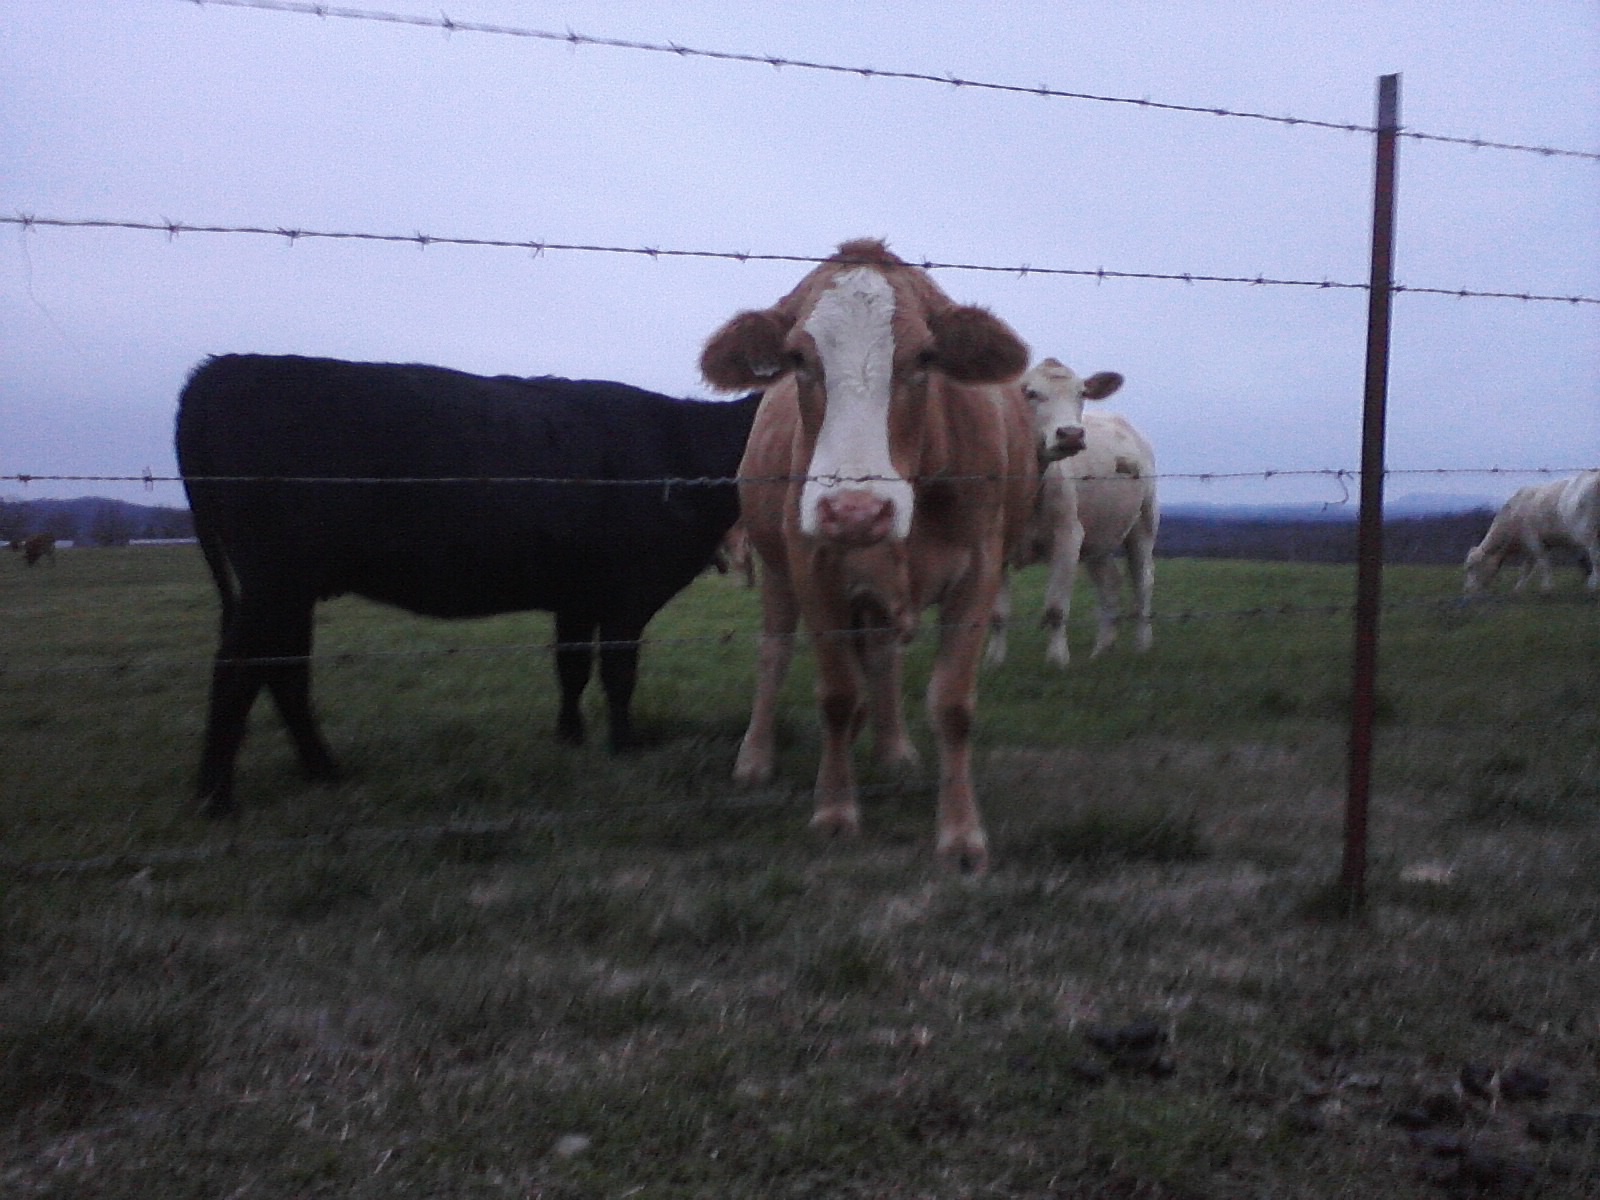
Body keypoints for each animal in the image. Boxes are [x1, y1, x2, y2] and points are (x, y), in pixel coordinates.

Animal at [176, 354, 760, 817]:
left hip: (288, 590)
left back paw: (322, 770)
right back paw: (215, 798)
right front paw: (624, 747)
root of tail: (218, 369)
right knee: (237, 671)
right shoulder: (626, 594)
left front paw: (570, 739)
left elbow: (571, 668)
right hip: (274, 583)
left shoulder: (576, 594)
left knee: (283, 671)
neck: (682, 450)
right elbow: (618, 674)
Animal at [700, 238, 1037, 875]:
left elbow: (952, 705)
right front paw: (835, 810)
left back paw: (892, 748)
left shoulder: (980, 571)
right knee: (775, 655)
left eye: (925, 356)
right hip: (775, 570)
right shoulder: (812, 565)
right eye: (798, 358)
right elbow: (836, 694)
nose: (855, 510)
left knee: (882, 657)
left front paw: (961, 833)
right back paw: (756, 758)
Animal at [985, 360, 1158, 668]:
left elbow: (1056, 608)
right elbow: (997, 614)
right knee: (1110, 585)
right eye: (1029, 392)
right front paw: (994, 661)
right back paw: (1102, 650)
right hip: (1098, 537)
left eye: (1082, 393)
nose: (1071, 434)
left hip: (1144, 523)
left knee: (1143, 582)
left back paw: (1142, 645)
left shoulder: (1068, 537)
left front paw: (1057, 660)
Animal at [1463, 471, 1600, 596]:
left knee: (1595, 556)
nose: (1468, 589)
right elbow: (1526, 568)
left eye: (1471, 567)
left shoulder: (1535, 541)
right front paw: (1518, 588)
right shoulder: (1530, 546)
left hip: (1589, 534)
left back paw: (1593, 585)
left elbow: (1544, 563)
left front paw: (1547, 587)